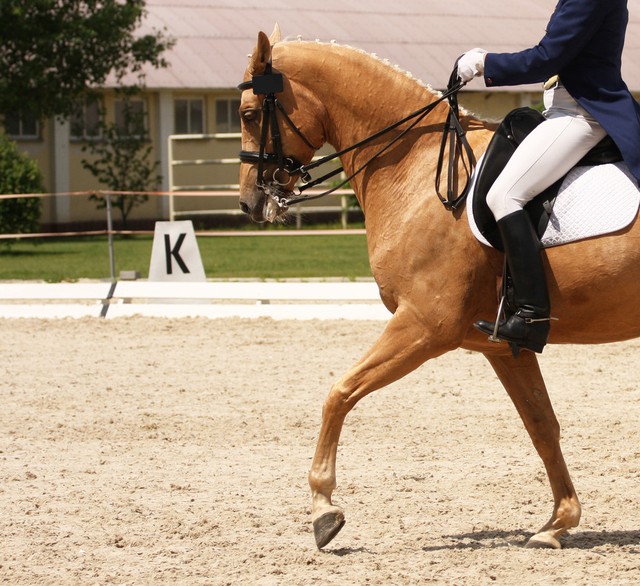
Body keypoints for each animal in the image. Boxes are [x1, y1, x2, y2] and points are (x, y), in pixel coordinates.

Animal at [237, 27, 640, 550]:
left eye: (248, 114)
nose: (250, 202)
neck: (412, 164)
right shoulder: (502, 345)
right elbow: (541, 424)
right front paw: (558, 523)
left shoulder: (426, 325)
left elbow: (339, 392)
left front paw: (323, 509)